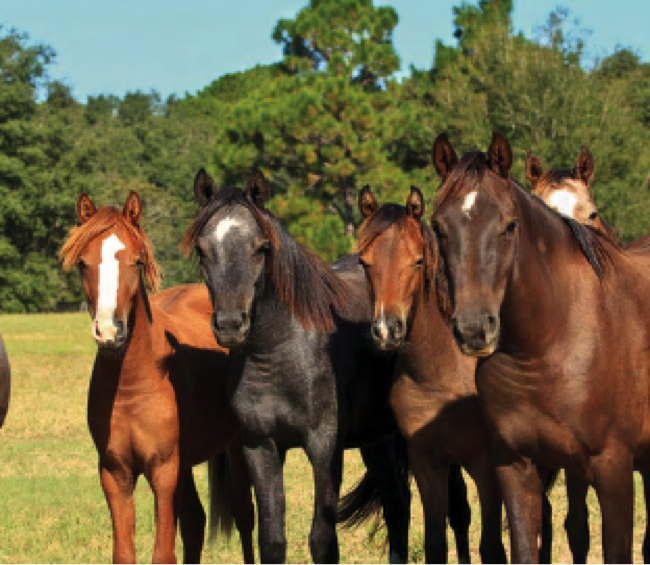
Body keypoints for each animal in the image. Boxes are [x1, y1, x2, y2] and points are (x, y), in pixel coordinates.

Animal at [59, 191, 255, 565]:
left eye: (136, 262)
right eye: (83, 264)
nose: (110, 331)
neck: (132, 385)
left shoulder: (163, 470)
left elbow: (163, 553)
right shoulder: (115, 473)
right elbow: (125, 553)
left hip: (235, 448)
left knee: (244, 517)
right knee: (195, 523)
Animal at [181, 169, 415, 565]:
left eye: (262, 247)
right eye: (202, 249)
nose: (230, 325)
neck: (280, 354)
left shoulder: (324, 448)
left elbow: (322, 540)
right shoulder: (260, 446)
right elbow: (272, 540)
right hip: (377, 440)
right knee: (397, 506)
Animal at [355, 184, 508, 565]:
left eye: (418, 261)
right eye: (364, 262)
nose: (387, 330)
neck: (439, 377)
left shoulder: (485, 464)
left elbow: (492, 547)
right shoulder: (427, 462)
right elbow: (436, 543)